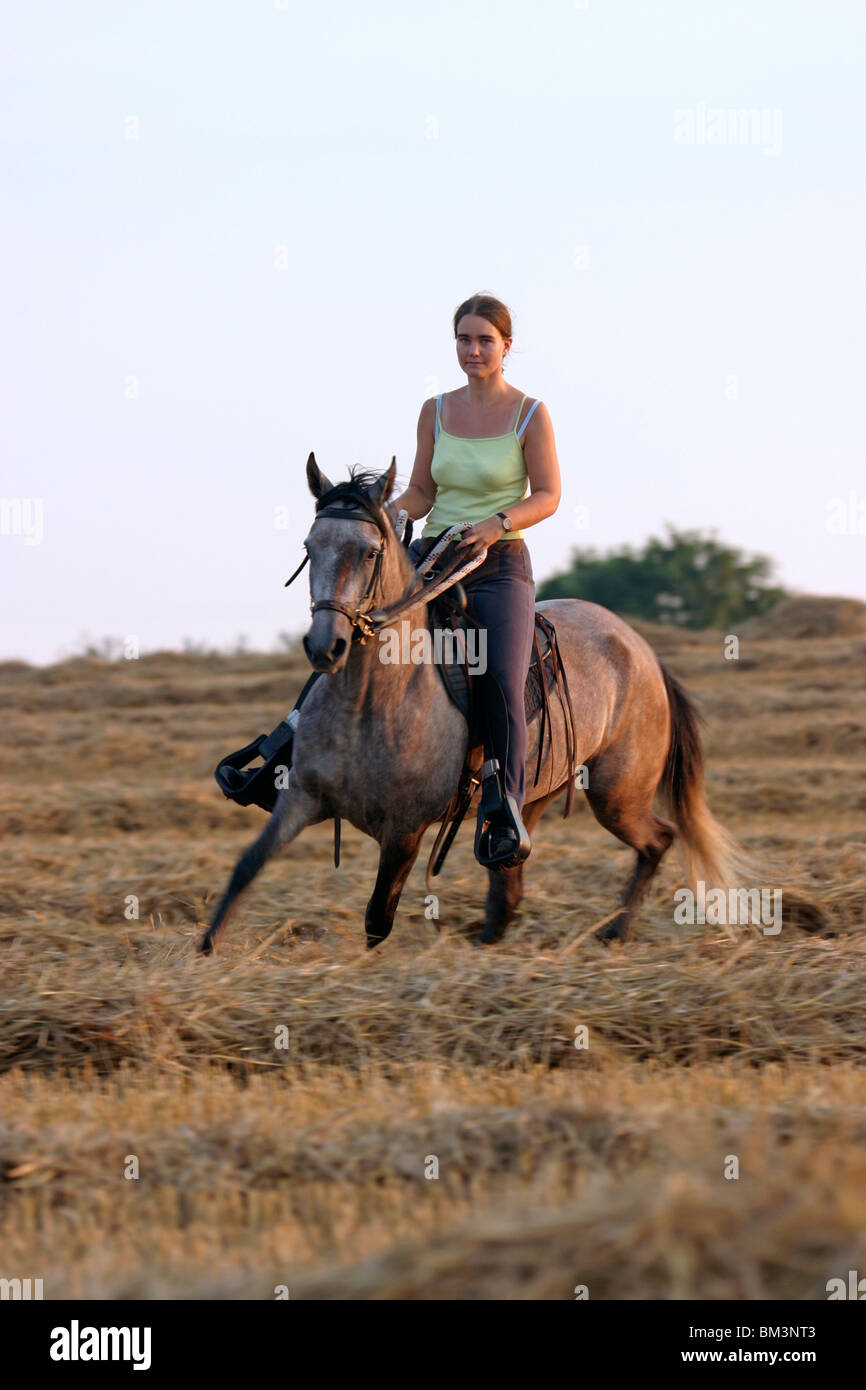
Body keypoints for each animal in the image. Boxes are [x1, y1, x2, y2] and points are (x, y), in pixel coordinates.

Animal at [200, 454, 744, 955]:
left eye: (371, 552)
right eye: (309, 548)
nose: (324, 647)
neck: (370, 701)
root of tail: (642, 649)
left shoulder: (405, 831)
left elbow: (378, 920)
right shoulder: (301, 797)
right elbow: (246, 866)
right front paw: (205, 949)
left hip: (617, 795)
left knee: (658, 839)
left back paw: (616, 933)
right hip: (530, 801)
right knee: (510, 880)